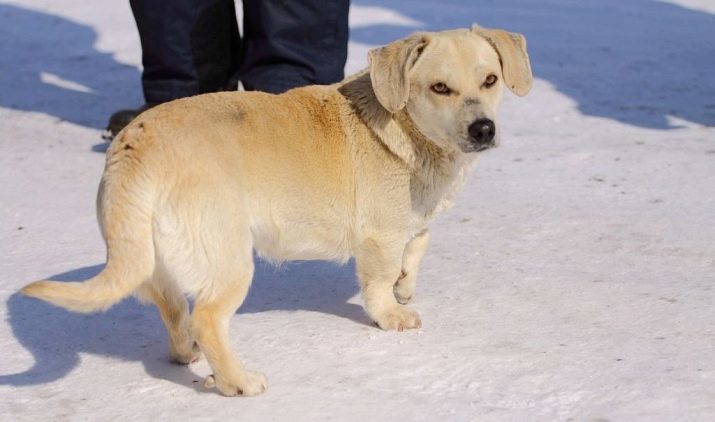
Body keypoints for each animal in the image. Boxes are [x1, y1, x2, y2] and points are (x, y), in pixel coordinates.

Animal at [21, 26, 532, 396]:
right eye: (440, 88)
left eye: (490, 80)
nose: (483, 129)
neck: (409, 135)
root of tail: (134, 144)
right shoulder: (379, 236)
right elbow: (381, 281)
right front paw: (392, 314)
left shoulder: (412, 225)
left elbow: (416, 249)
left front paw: (406, 287)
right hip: (229, 261)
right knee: (207, 319)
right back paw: (238, 383)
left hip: (153, 266)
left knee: (177, 315)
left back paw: (188, 354)